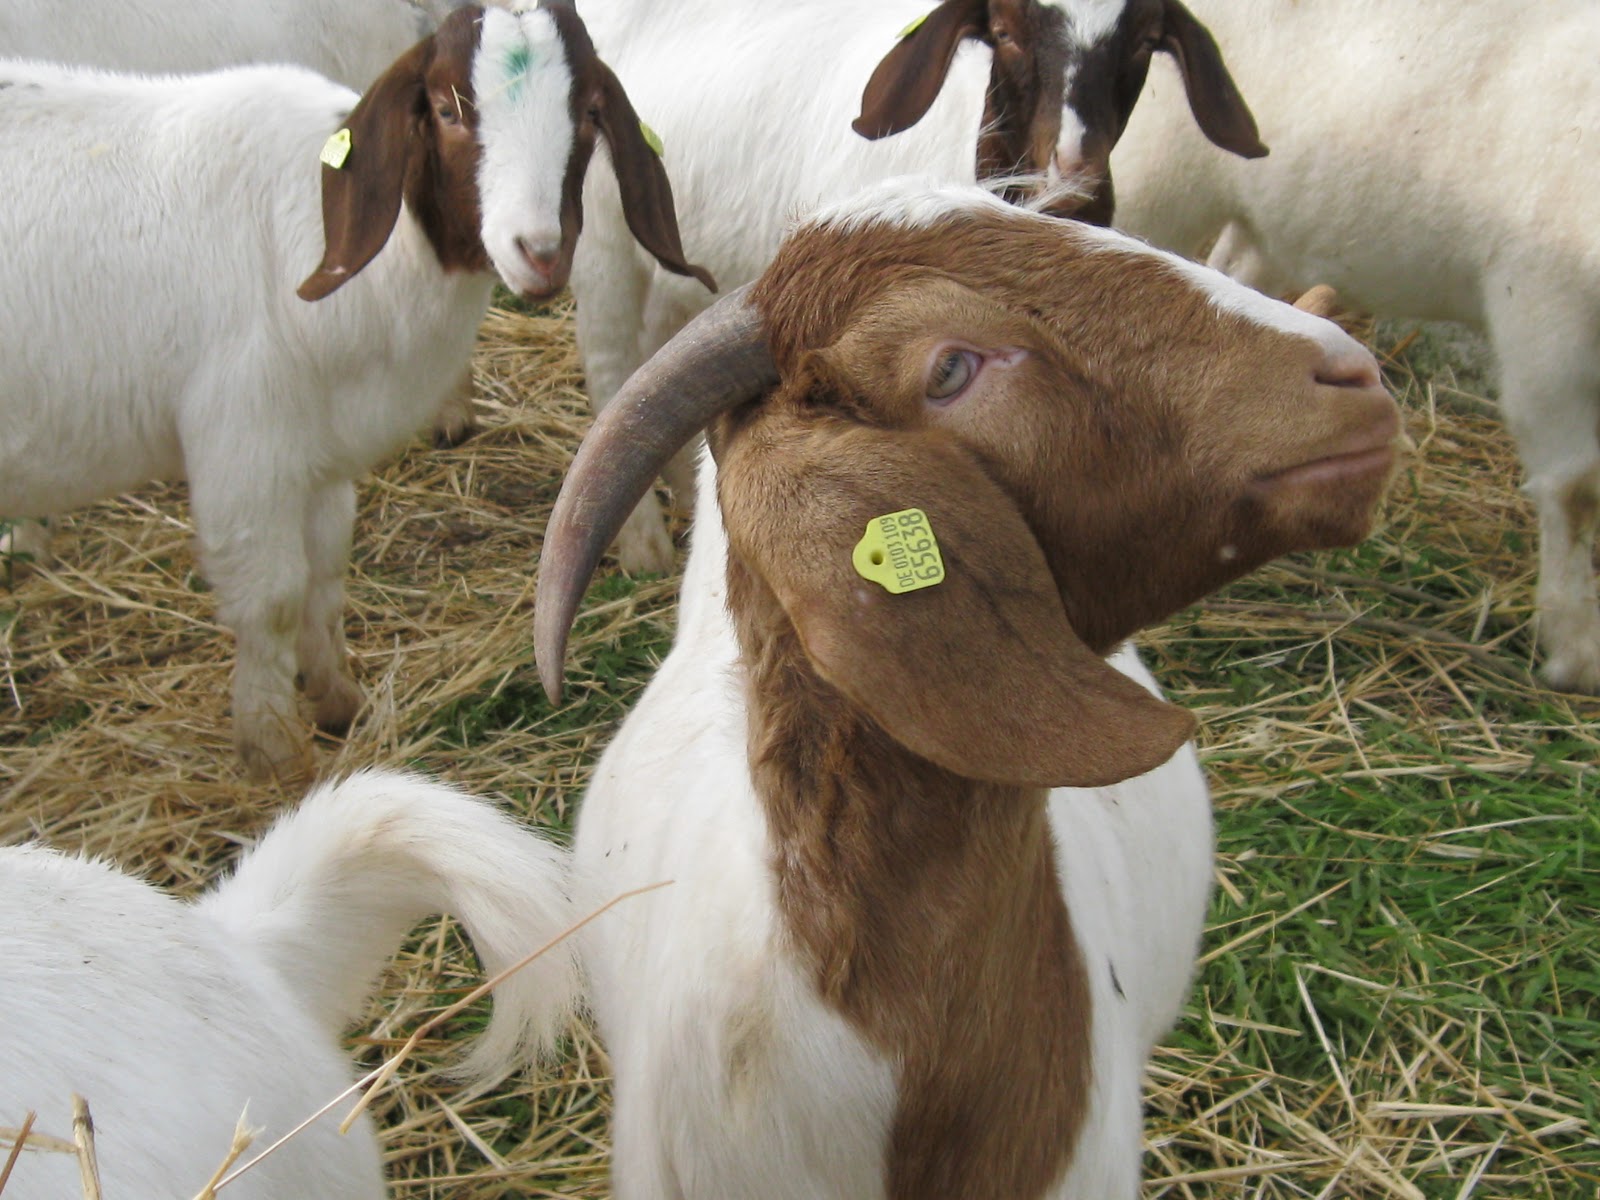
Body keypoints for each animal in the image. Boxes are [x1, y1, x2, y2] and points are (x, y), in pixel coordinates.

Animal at [0, 3, 710, 780]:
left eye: (587, 111)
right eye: (445, 109)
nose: (541, 252)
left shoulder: (319, 455)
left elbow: (324, 577)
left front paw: (338, 701)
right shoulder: (243, 448)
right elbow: (272, 598)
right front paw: (275, 749)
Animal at [568, 0, 1265, 573]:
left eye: (1146, 39)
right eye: (1004, 30)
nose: (1075, 175)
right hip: (602, 245)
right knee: (610, 369)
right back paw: (645, 549)